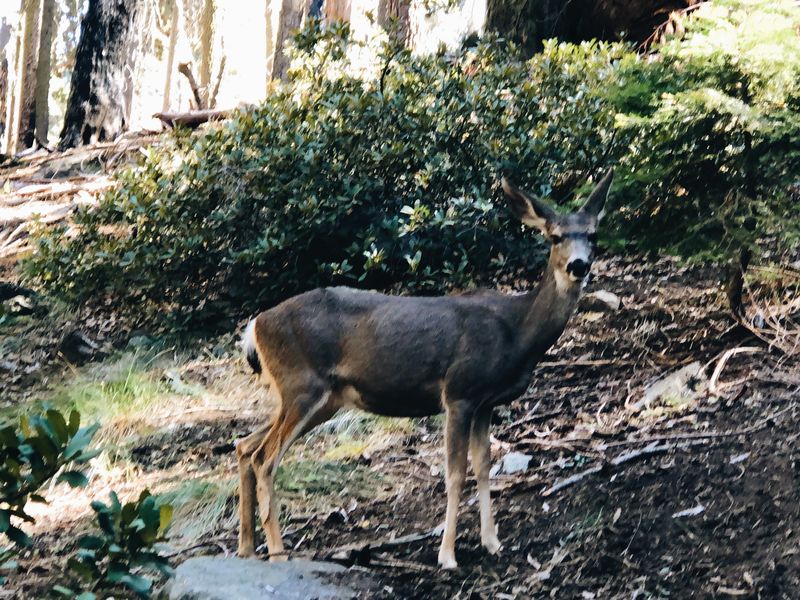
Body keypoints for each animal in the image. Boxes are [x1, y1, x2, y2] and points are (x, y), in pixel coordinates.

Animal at [235, 169, 613, 569]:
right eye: (555, 236)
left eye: (592, 234)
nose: (578, 265)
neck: (516, 331)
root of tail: (255, 324)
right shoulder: (459, 392)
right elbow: (455, 474)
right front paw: (447, 555)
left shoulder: (485, 402)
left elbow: (484, 466)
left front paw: (492, 542)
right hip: (302, 385)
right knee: (265, 458)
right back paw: (277, 554)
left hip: (320, 398)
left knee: (245, 444)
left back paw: (247, 547)